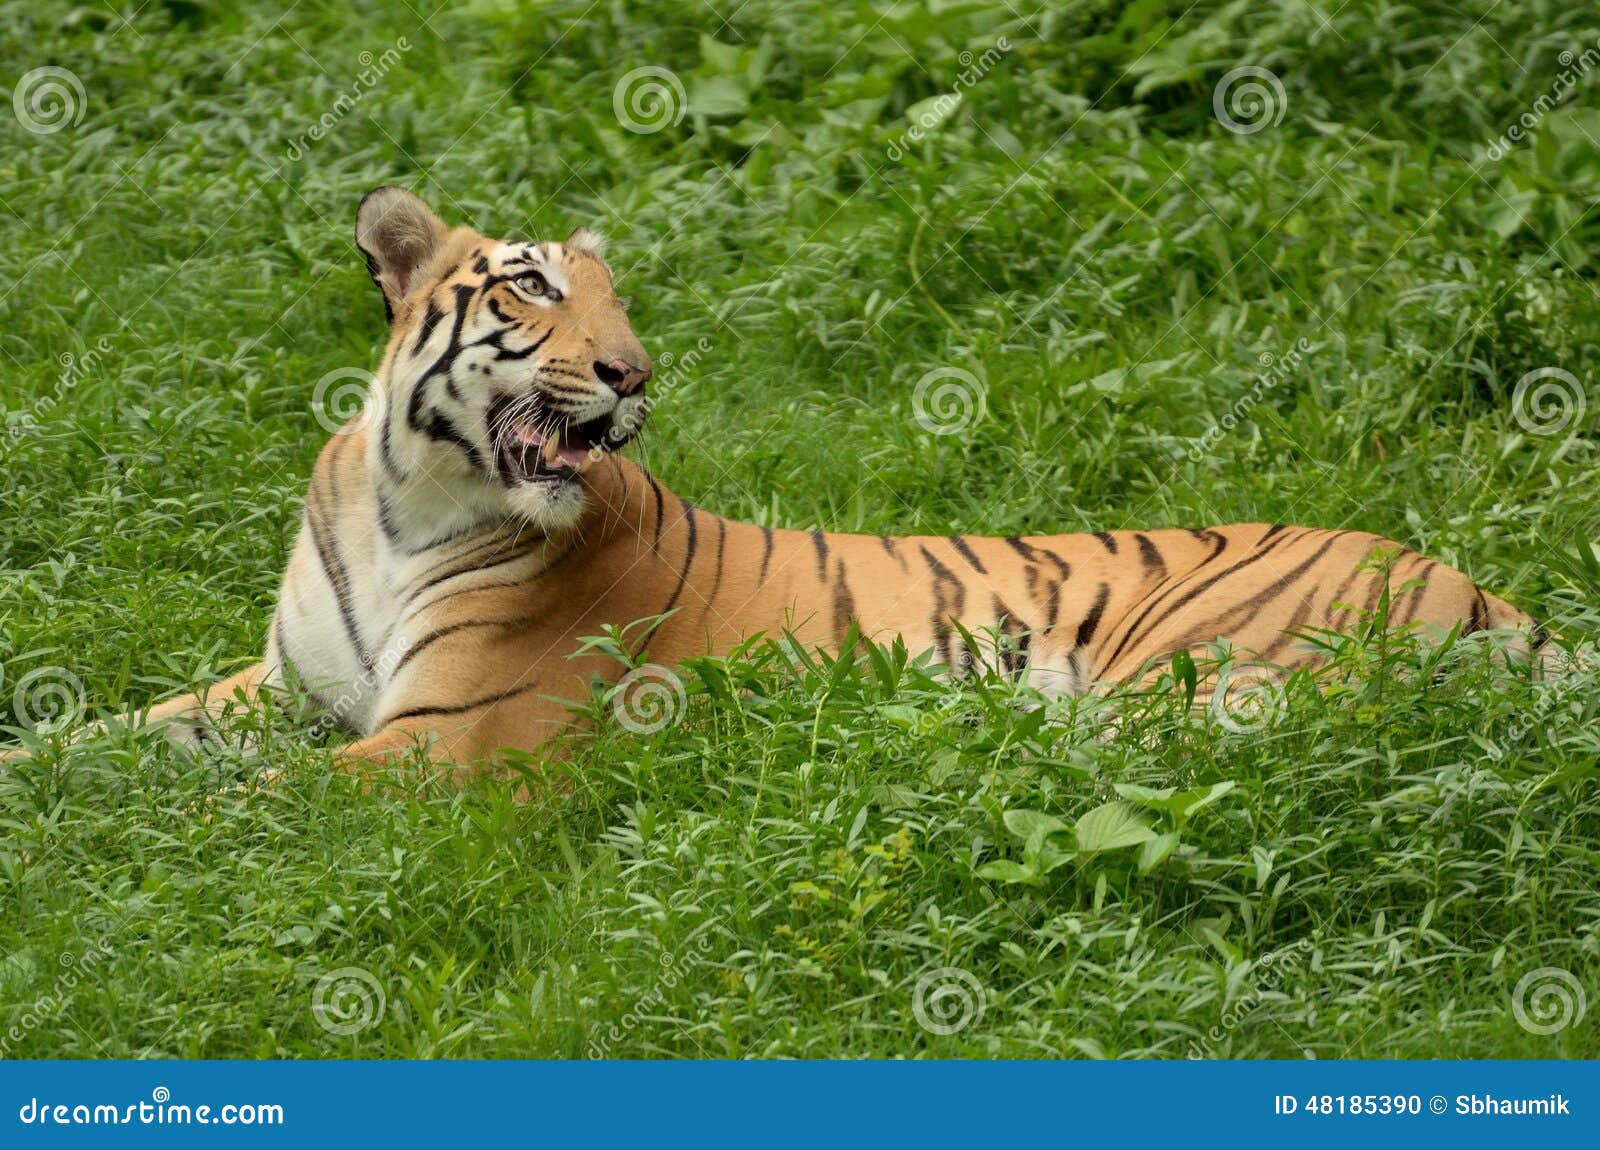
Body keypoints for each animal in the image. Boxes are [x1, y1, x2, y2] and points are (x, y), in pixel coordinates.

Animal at [3, 187, 1555, 779]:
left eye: (618, 298)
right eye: (531, 287)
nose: (633, 373)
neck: (413, 505)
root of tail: (1483, 585)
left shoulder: (439, 743)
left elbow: (242, 806)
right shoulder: (275, 688)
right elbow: (105, 739)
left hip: (1187, 679)